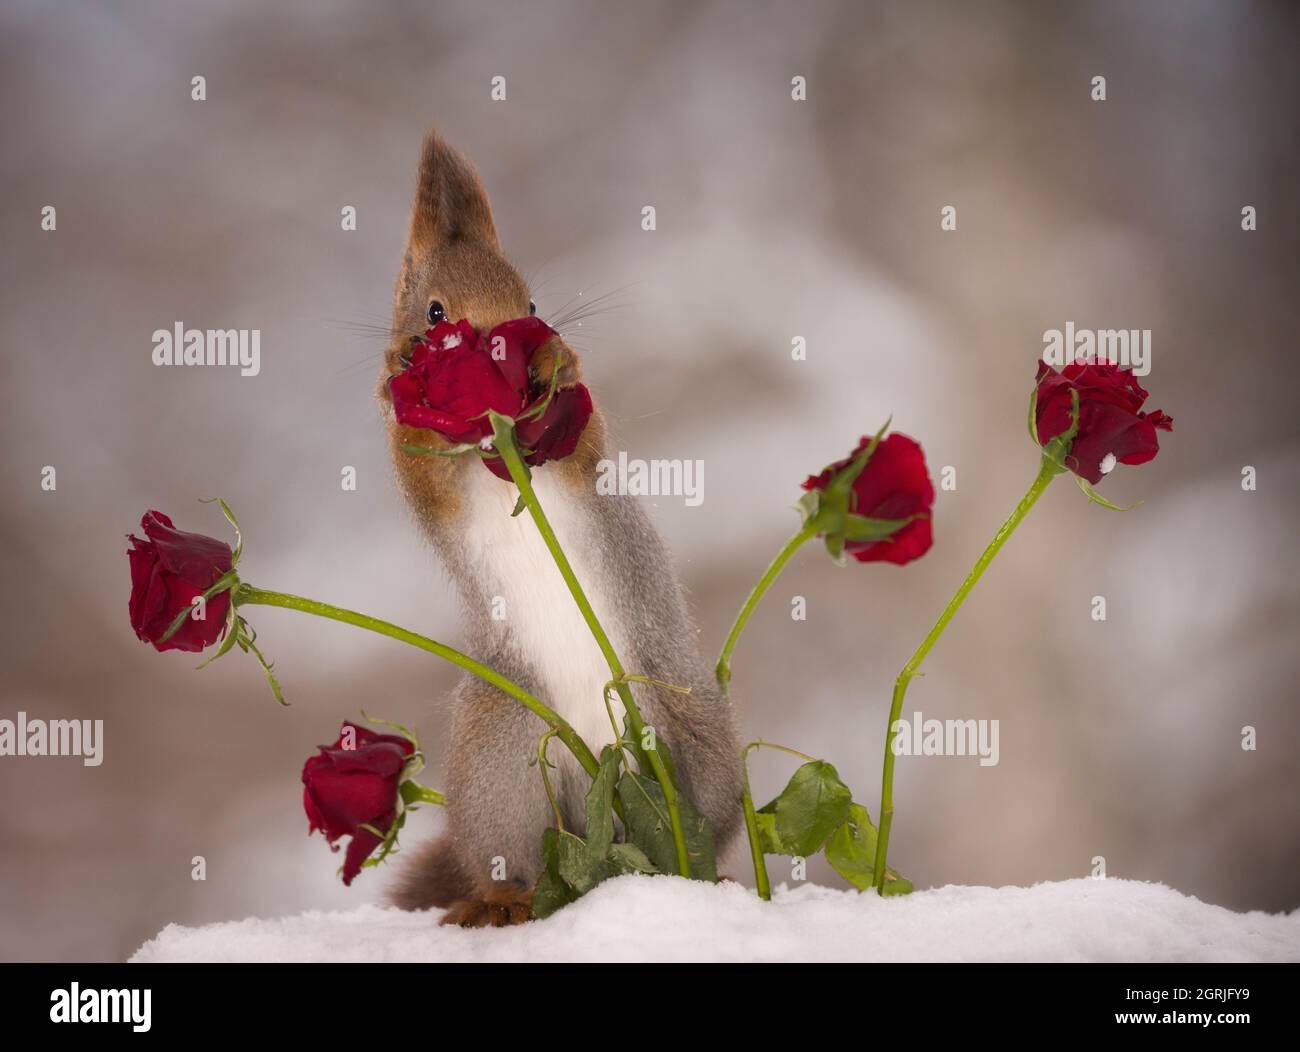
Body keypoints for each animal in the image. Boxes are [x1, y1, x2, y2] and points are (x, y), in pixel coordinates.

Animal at [377, 129, 743, 926]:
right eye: (433, 314)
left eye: (532, 302)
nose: (504, 342)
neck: (495, 437)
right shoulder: (428, 485)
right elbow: (417, 465)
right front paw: (402, 378)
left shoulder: (583, 455)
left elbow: (583, 439)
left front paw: (554, 362)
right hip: (504, 752)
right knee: (509, 858)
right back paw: (499, 901)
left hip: (688, 732)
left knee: (708, 835)